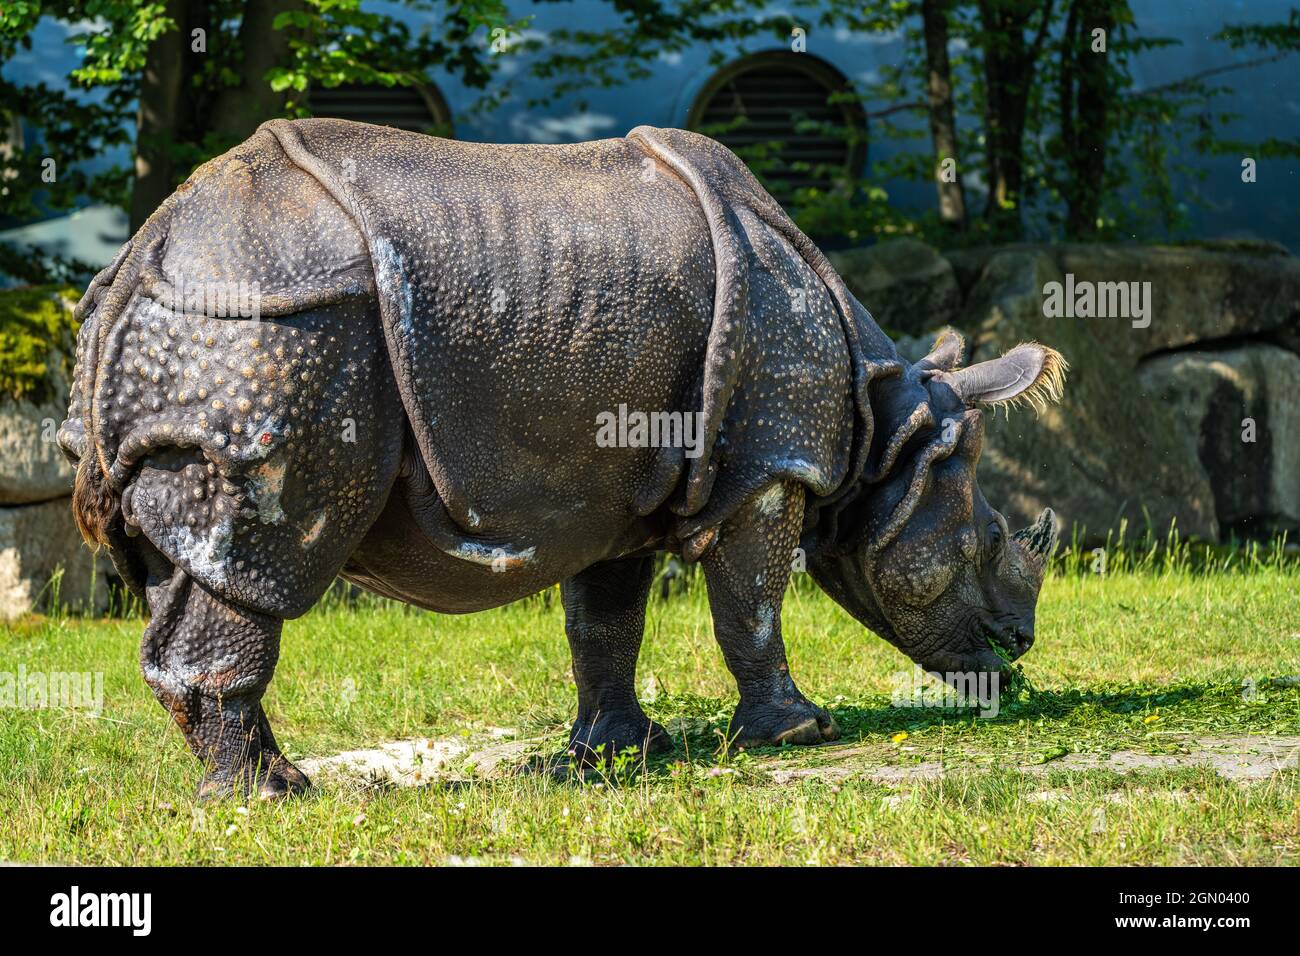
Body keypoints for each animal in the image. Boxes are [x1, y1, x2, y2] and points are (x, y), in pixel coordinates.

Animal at [59, 120, 1065, 798]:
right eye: (997, 539)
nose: (1018, 651)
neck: (885, 426)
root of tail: (146, 249)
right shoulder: (769, 463)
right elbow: (752, 603)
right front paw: (799, 735)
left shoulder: (611, 483)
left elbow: (605, 622)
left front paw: (619, 752)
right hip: (269, 331)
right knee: (254, 559)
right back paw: (271, 798)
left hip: (208, 335)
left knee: (190, 560)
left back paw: (259, 789)